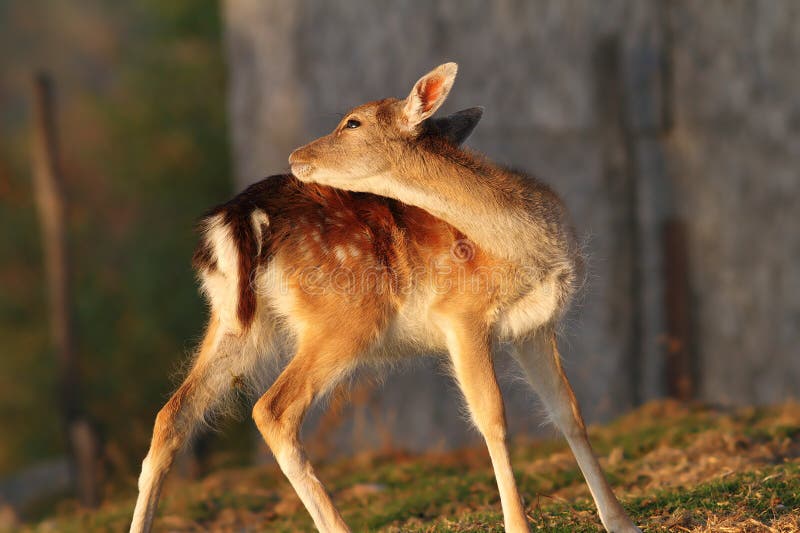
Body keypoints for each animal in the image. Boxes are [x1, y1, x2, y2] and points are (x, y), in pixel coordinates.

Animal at [285, 63, 642, 533]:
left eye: (353, 122)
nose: (295, 156)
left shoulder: (535, 324)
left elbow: (569, 411)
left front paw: (622, 521)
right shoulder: (459, 313)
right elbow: (492, 417)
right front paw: (517, 525)